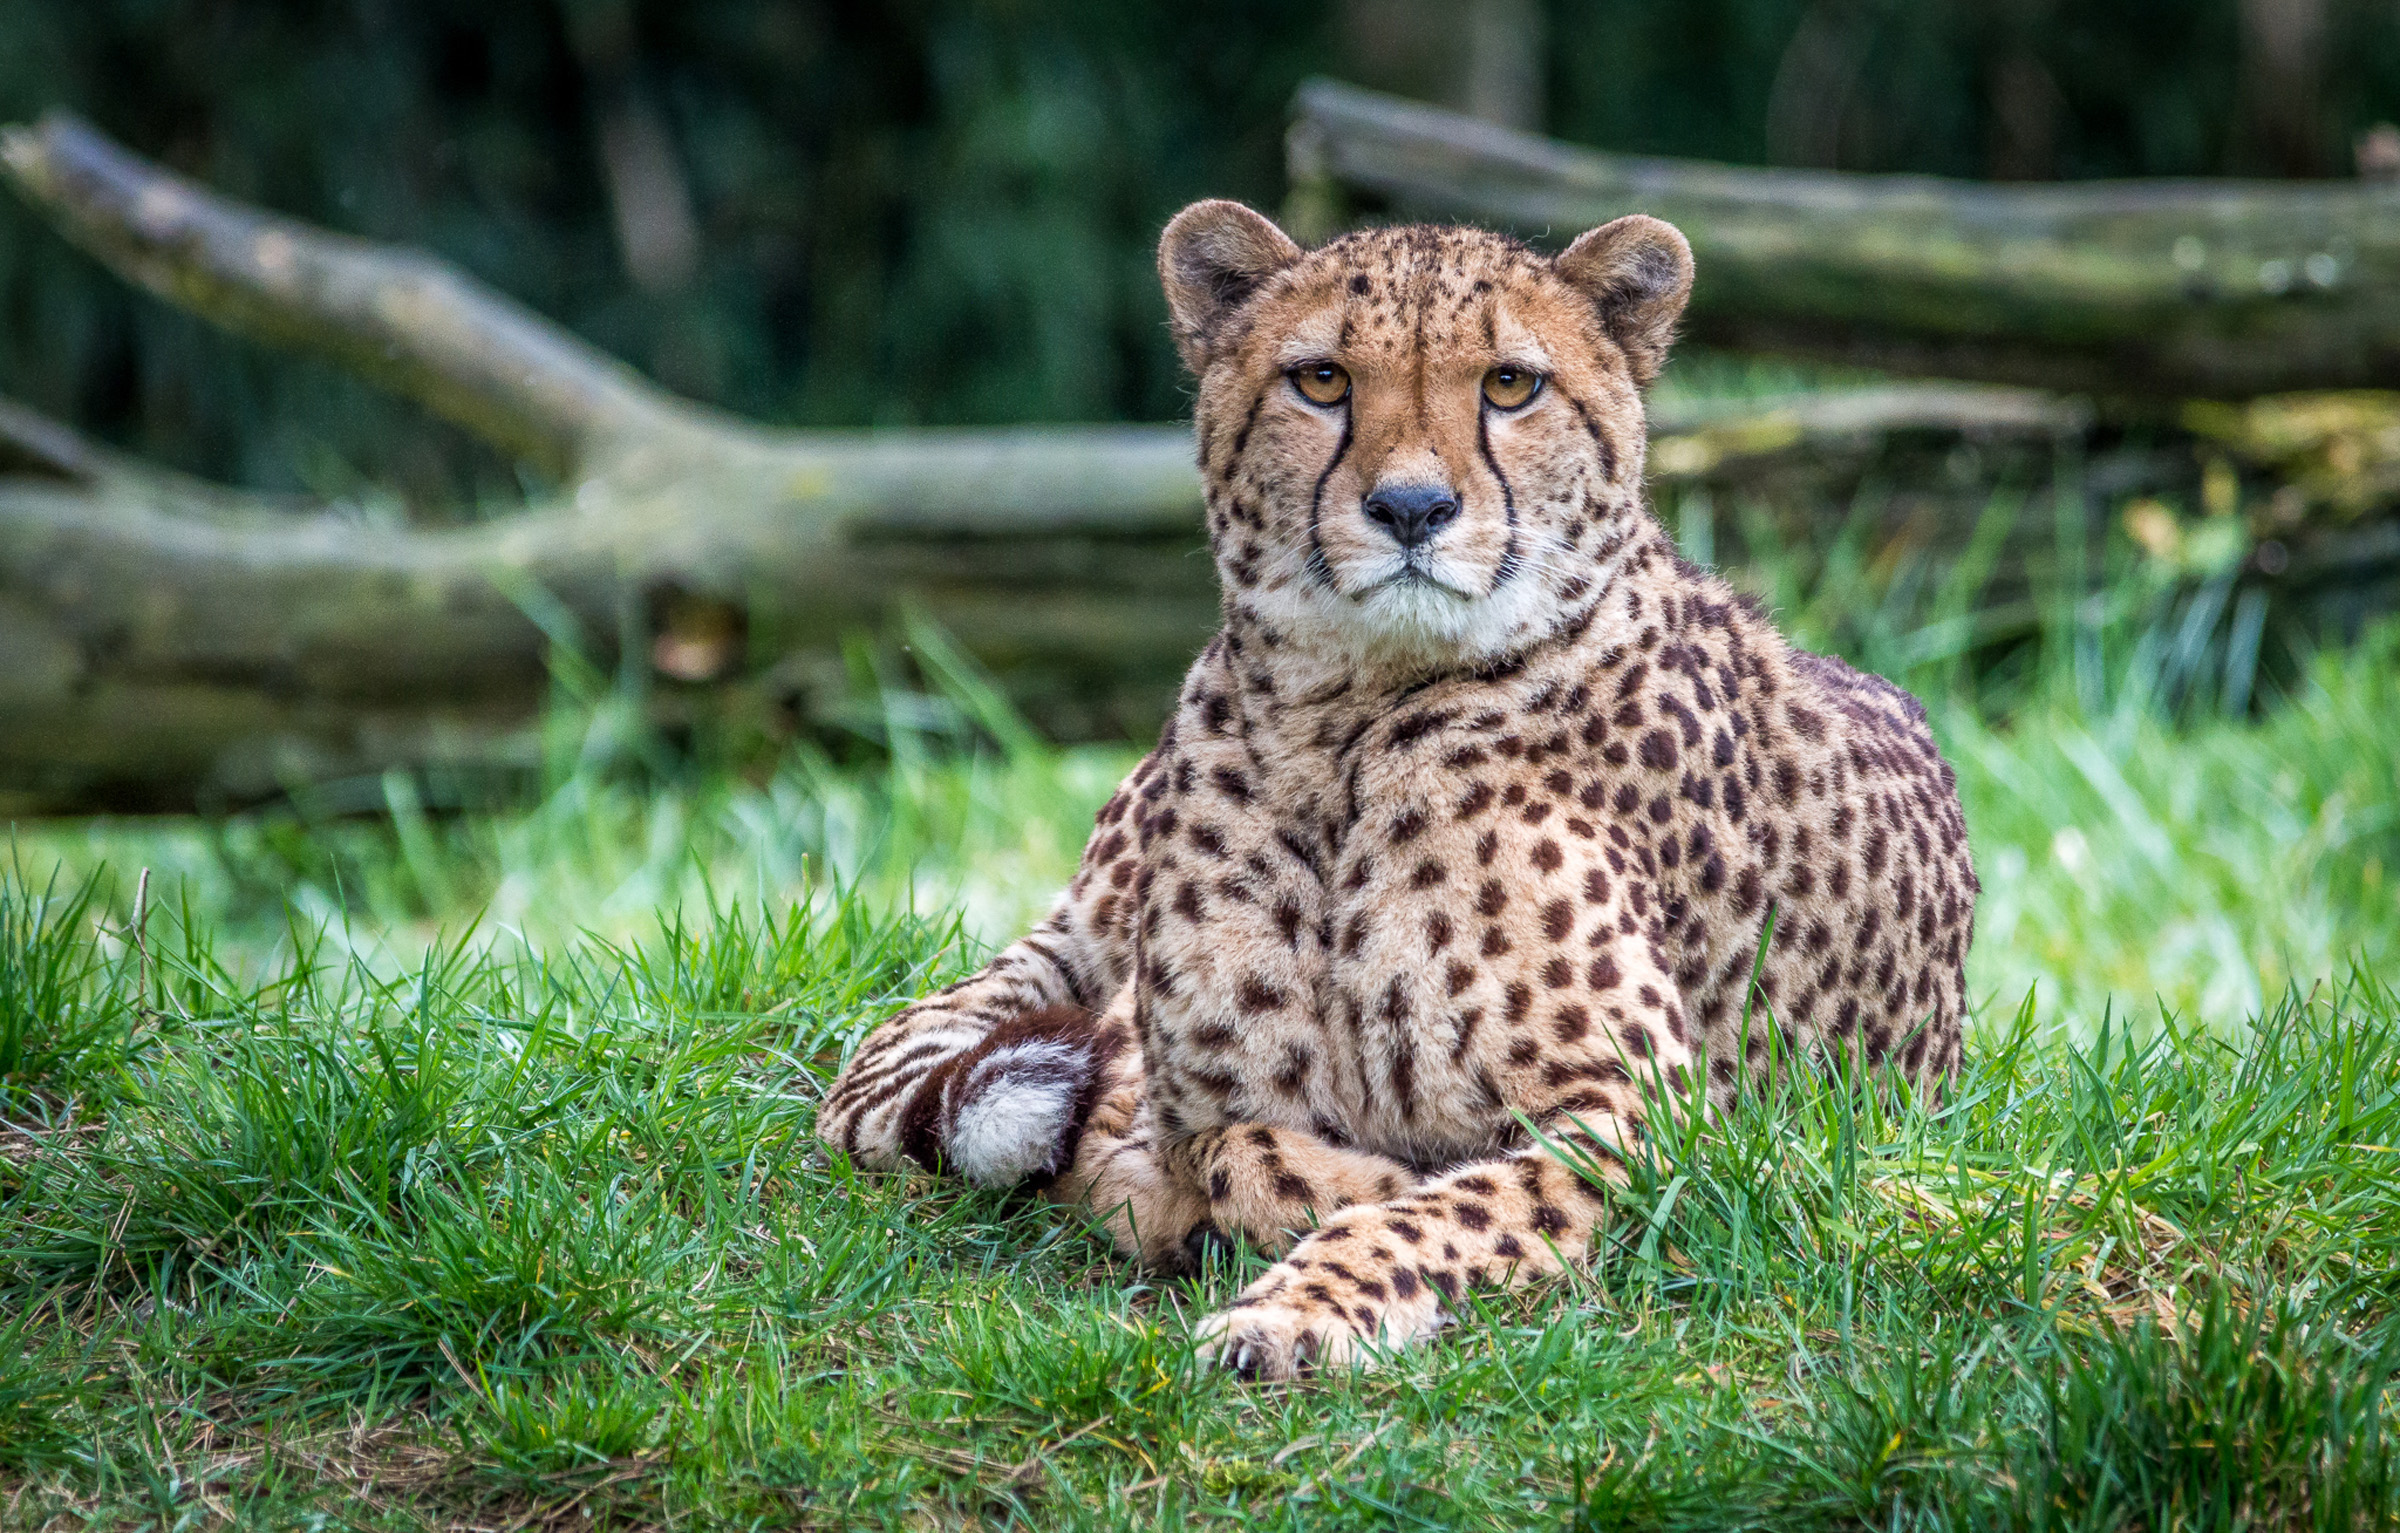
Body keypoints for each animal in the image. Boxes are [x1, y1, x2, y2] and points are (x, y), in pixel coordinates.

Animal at [818, 199, 1976, 1380]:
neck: (1346, 724)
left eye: (1510, 384)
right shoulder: (1192, 1083)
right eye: (1322, 379)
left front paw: (1296, 1305)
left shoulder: (1648, 1112)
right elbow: (1219, 1143)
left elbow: (1444, 1206)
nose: (1412, 508)